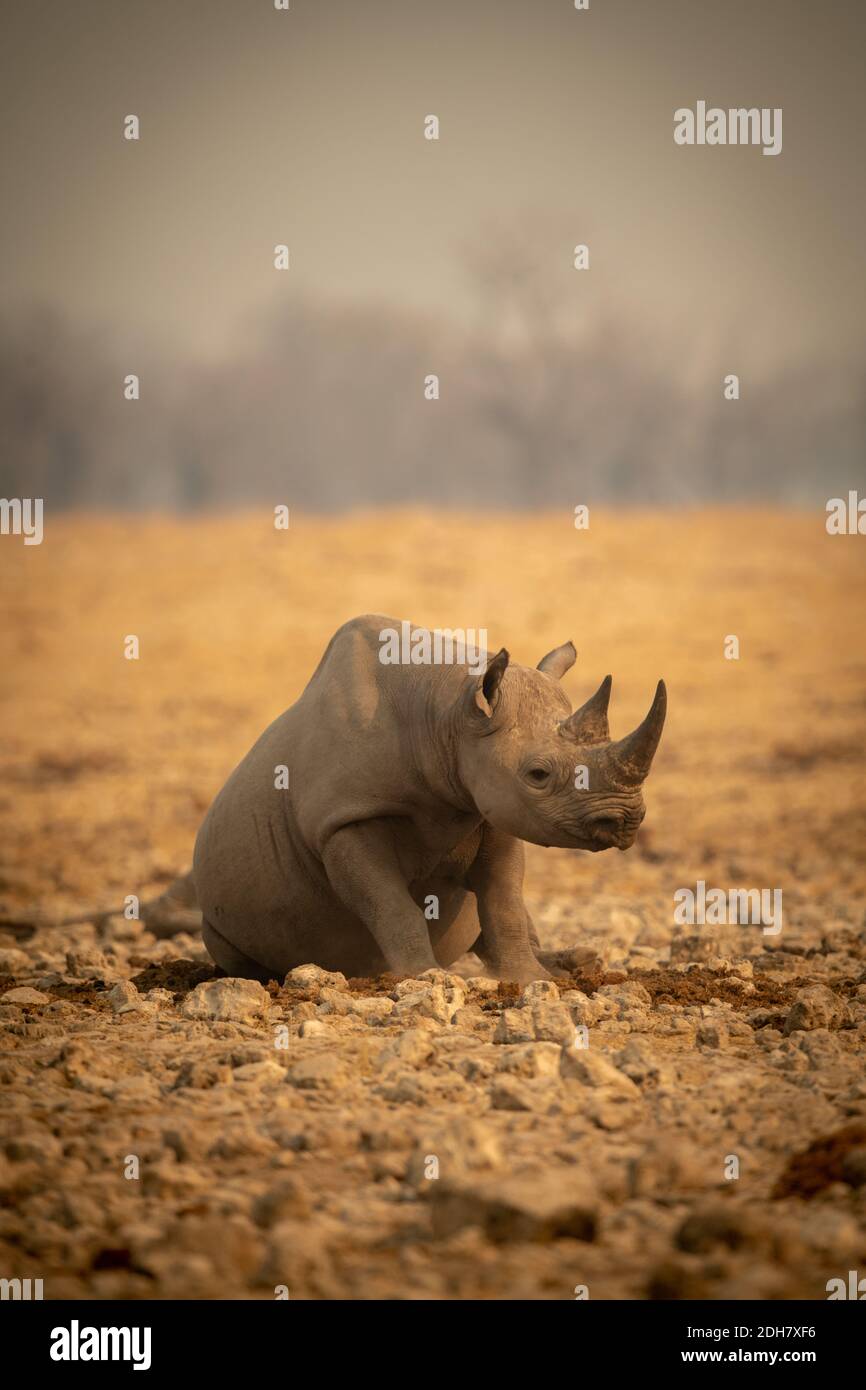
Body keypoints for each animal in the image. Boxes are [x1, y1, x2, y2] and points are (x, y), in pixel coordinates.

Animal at [176, 615, 666, 986]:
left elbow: (504, 899)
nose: (625, 820)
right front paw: (424, 977)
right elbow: (390, 904)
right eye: (538, 775)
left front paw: (532, 980)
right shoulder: (344, 819)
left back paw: (575, 964)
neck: (446, 714)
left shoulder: (492, 806)